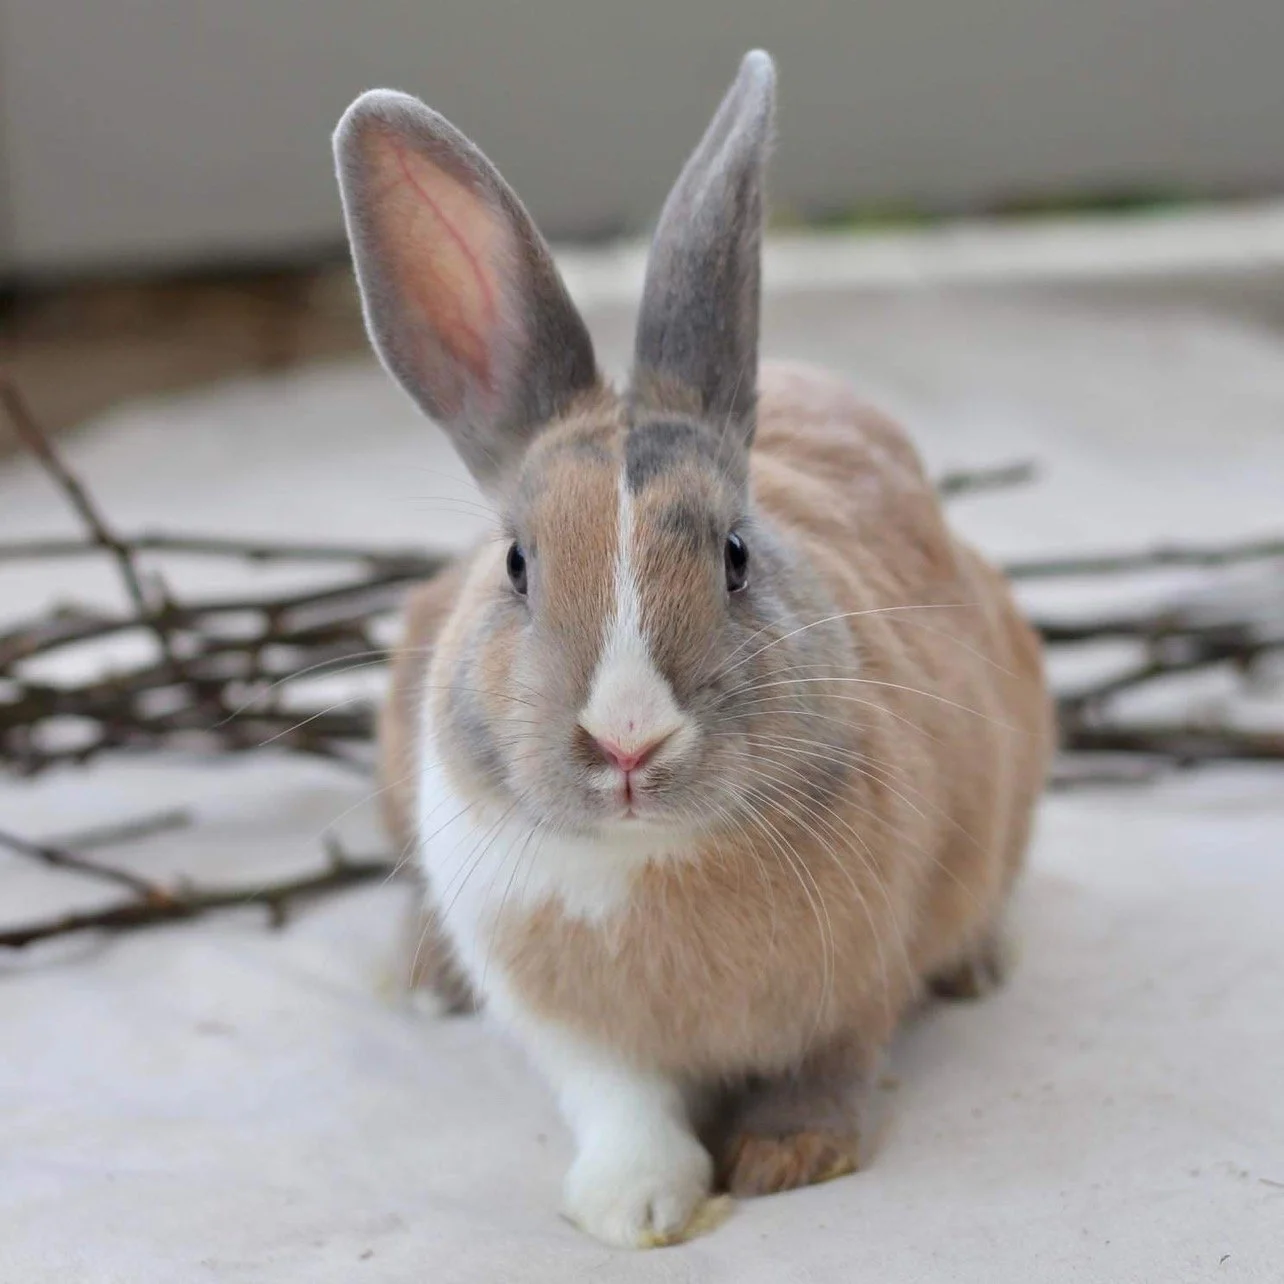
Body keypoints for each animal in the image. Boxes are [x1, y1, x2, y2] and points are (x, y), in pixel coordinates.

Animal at [334, 49, 1054, 1248]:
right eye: (517, 564)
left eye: (736, 554)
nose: (629, 740)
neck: (650, 858)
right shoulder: (571, 1028)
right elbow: (619, 1102)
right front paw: (636, 1207)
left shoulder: (860, 978)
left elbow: (830, 1064)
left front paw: (790, 1158)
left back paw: (981, 969)